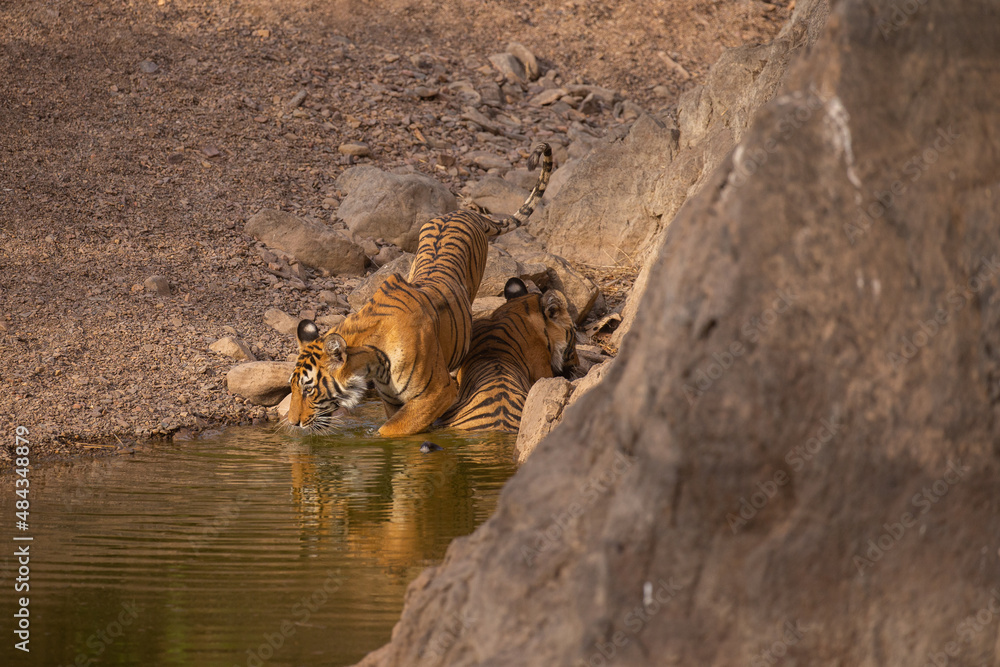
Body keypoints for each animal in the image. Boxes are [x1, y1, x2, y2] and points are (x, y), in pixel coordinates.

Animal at [285, 143, 553, 437]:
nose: (293, 423)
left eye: (309, 390)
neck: (372, 362)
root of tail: (463, 211)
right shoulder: (391, 398)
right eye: (291, 387)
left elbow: (389, 431)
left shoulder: (437, 392)